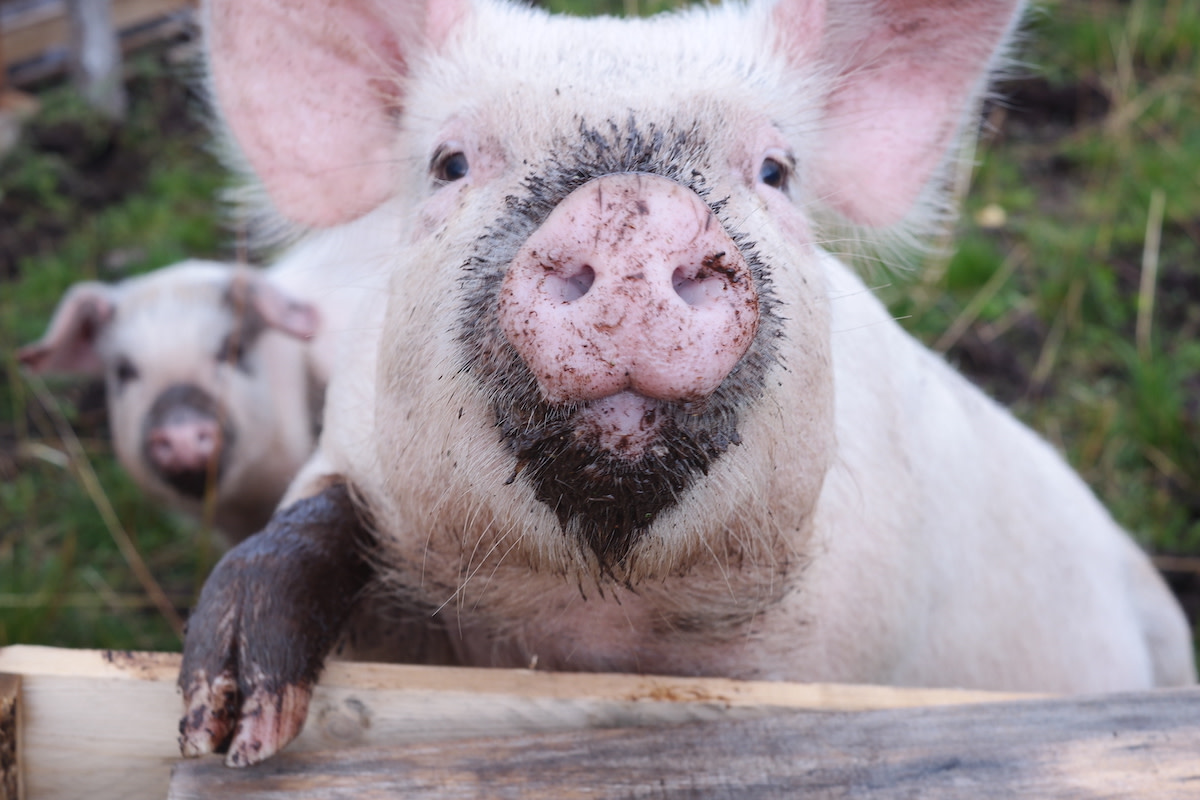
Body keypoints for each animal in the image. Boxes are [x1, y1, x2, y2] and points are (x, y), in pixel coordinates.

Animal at [178, 0, 1197, 767]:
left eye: (776, 170)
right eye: (449, 163)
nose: (632, 210)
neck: (591, 626)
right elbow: (309, 525)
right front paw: (224, 733)